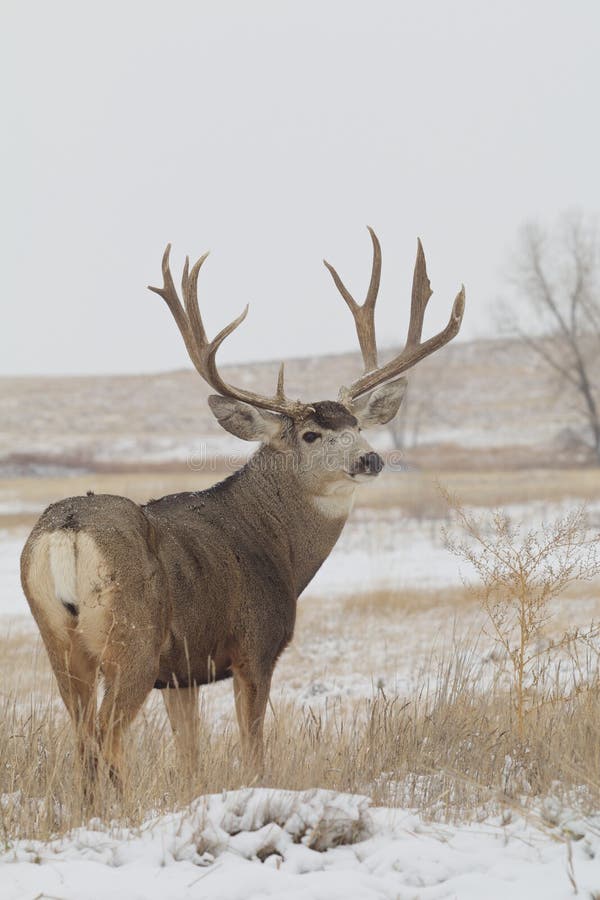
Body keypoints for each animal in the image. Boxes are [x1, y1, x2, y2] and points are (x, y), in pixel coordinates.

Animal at [21, 228, 465, 790]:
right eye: (311, 433)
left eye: (359, 425)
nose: (370, 458)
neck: (276, 546)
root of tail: (69, 529)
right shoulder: (255, 645)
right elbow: (253, 749)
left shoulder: (181, 673)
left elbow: (190, 757)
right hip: (132, 641)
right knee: (105, 739)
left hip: (59, 640)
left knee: (81, 742)